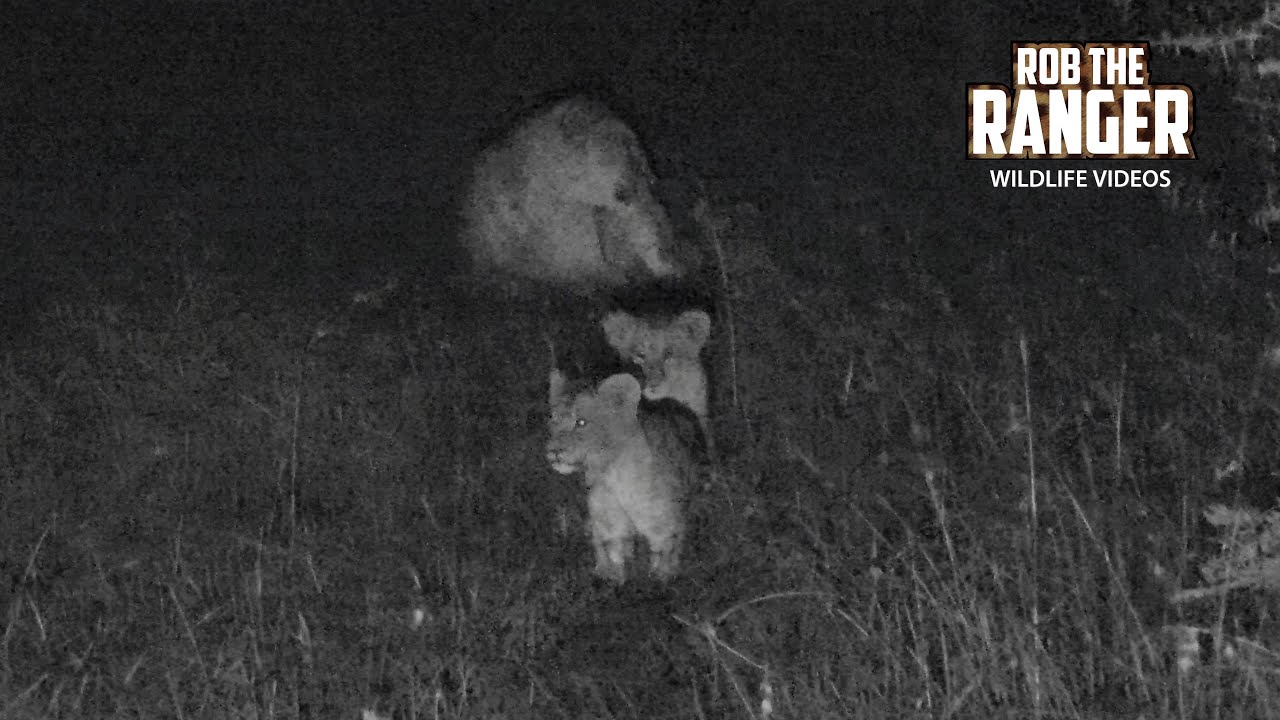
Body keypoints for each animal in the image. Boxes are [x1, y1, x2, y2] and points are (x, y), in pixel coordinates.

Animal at [545, 370, 698, 583]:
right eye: (554, 420)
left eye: (581, 422)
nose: (554, 451)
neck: (612, 473)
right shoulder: (608, 519)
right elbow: (613, 552)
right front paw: (614, 581)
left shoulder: (661, 520)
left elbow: (662, 552)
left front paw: (661, 580)